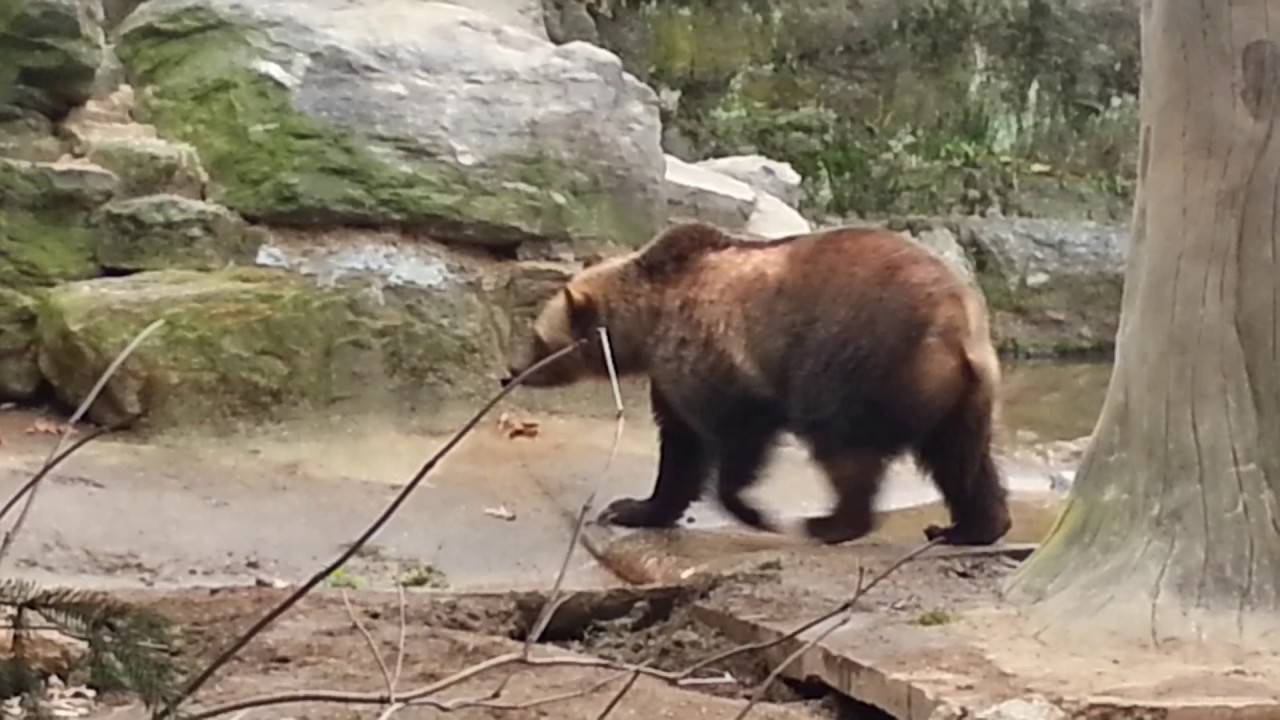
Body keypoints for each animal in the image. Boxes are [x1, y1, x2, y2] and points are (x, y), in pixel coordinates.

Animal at [501, 221, 1012, 546]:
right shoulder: (672, 376)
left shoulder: (713, 356)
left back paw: (830, 523)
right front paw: (635, 507)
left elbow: (730, 432)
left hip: (862, 363)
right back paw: (969, 527)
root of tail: (958, 329)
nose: (510, 370)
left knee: (844, 445)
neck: (646, 322)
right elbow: (680, 447)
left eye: (537, 339)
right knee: (960, 460)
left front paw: (749, 508)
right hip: (963, 397)